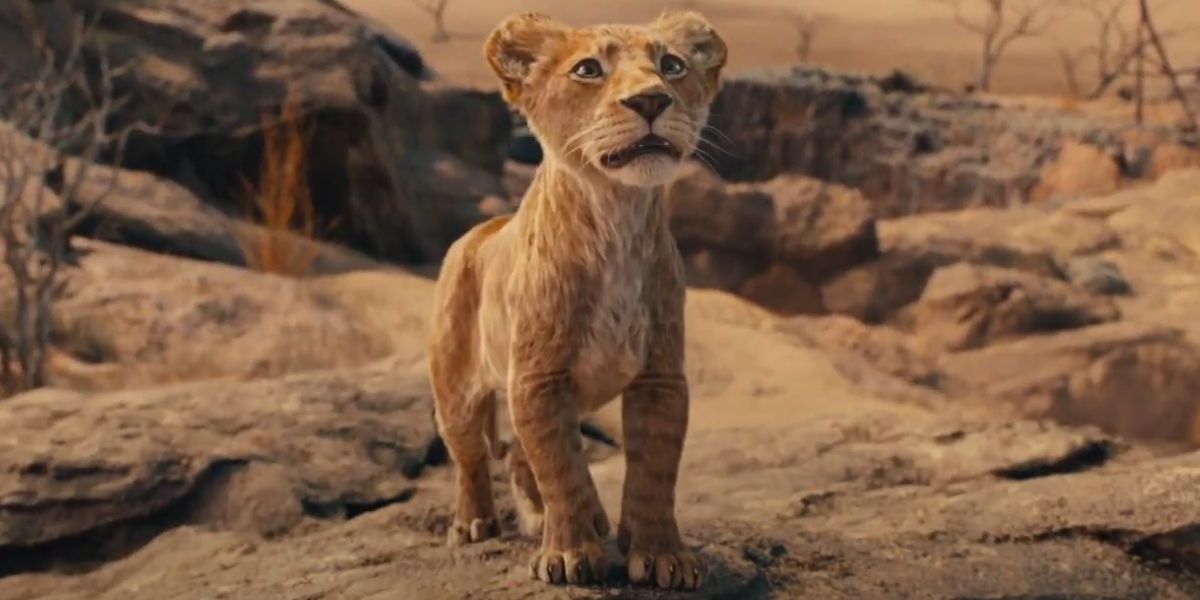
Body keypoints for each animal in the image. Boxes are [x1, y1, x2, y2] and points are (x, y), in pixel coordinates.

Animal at [427, 10, 727, 590]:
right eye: (588, 69)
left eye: (671, 65)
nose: (651, 100)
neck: (616, 216)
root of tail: (480, 229)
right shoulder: (539, 377)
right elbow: (560, 466)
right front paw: (568, 554)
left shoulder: (661, 376)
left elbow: (654, 469)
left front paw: (661, 554)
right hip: (456, 390)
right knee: (473, 456)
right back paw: (474, 523)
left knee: (521, 456)